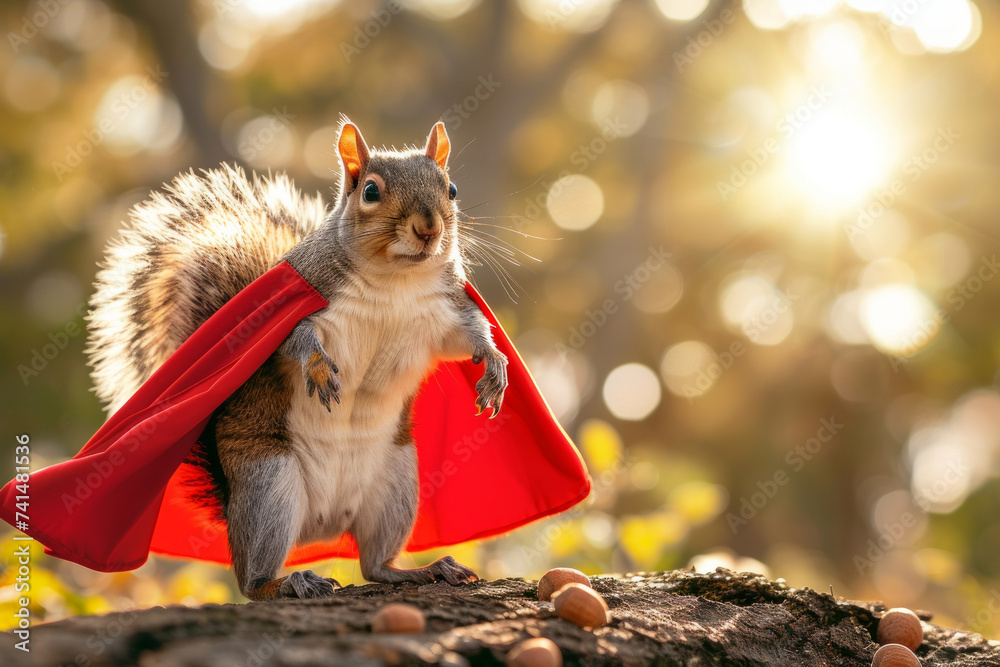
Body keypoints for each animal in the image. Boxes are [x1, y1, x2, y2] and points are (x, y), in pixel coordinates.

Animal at [85, 119, 509, 601]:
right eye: (370, 191)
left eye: (451, 189)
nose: (428, 229)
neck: (394, 280)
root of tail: (321, 528)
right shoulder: (302, 309)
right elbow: (295, 341)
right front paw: (319, 368)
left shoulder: (444, 313)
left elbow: (469, 335)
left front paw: (495, 366)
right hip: (269, 485)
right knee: (252, 581)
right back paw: (289, 581)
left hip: (397, 486)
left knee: (374, 566)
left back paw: (423, 569)